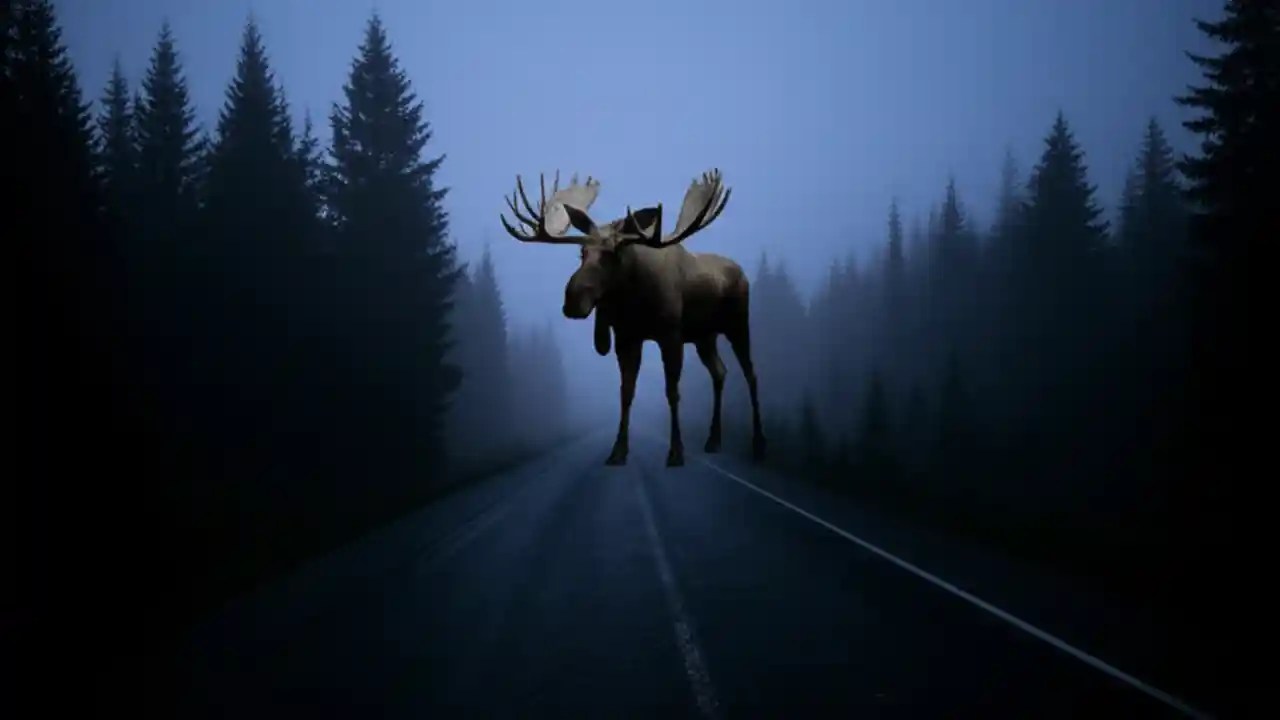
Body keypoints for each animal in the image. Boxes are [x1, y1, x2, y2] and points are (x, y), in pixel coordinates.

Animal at [499, 168, 766, 468]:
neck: (635, 299)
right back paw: (714, 440)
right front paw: (618, 451)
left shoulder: (671, 335)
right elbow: (626, 392)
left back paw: (758, 443)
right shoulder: (626, 337)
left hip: (737, 324)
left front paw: (676, 452)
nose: (573, 301)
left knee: (751, 373)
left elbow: (672, 392)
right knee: (720, 372)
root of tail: (741, 272)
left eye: (614, 253)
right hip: (704, 337)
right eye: (582, 252)